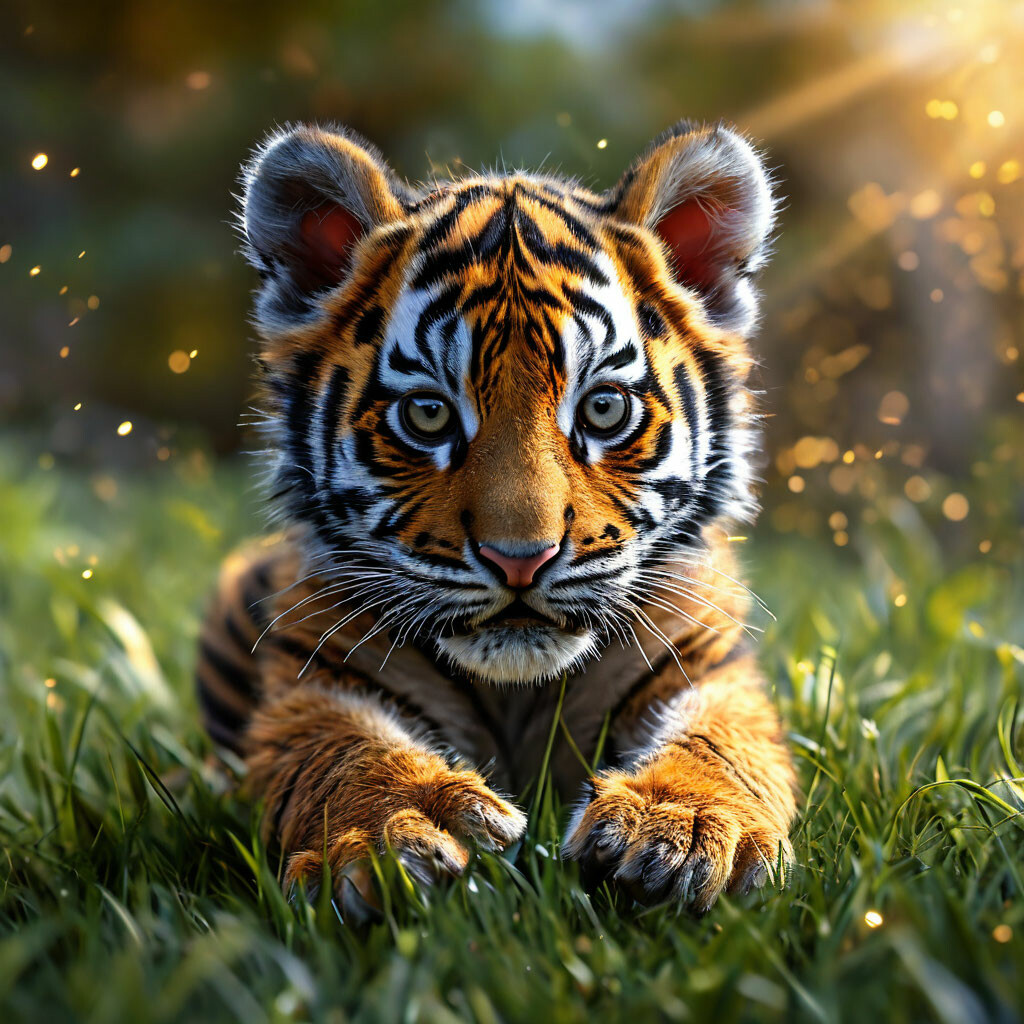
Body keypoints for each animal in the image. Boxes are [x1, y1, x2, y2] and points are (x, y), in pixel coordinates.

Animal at [196, 119, 797, 918]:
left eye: (604, 408)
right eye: (428, 414)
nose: (520, 559)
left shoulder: (702, 663)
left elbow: (721, 739)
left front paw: (683, 829)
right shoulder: (315, 680)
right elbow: (343, 748)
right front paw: (394, 831)